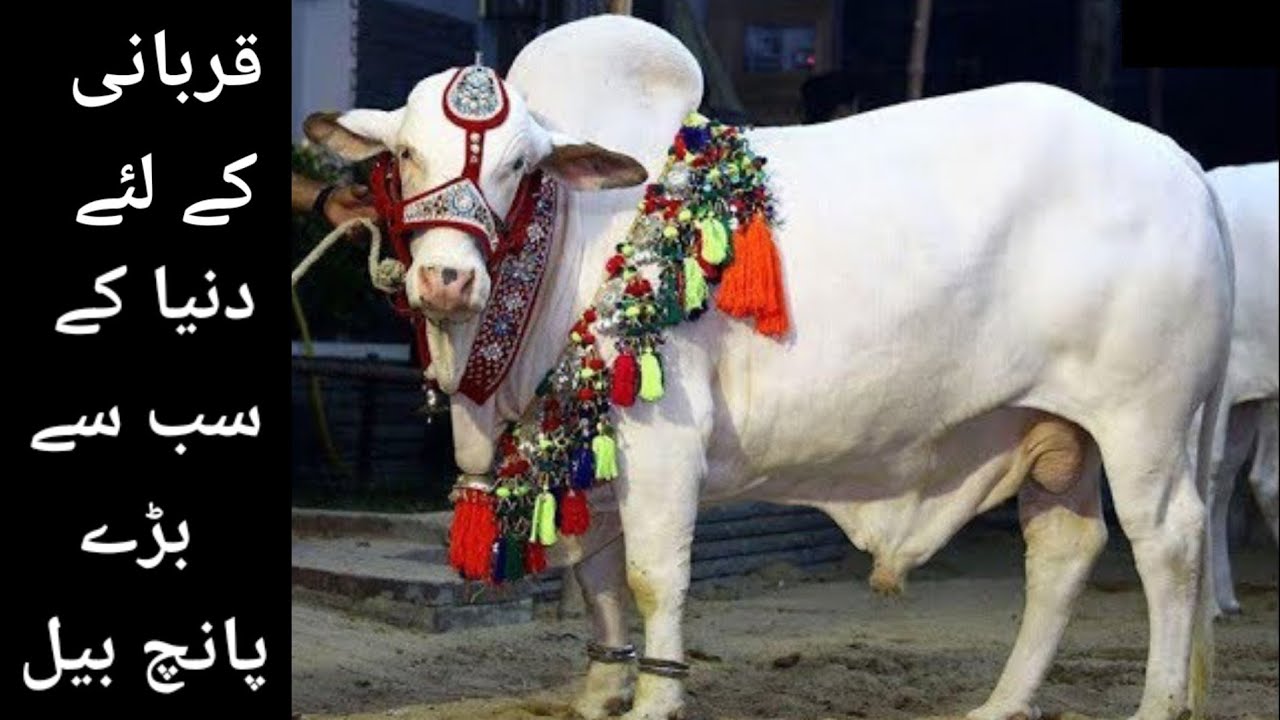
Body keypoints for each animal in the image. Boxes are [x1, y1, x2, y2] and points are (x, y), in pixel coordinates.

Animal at [304, 16, 1233, 720]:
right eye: (407, 155)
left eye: (519, 166)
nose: (447, 278)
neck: (568, 240)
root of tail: (1177, 160)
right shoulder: (577, 451)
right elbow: (593, 571)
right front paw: (601, 689)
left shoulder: (661, 444)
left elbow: (651, 575)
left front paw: (656, 698)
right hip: (1056, 431)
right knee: (1064, 551)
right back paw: (1003, 703)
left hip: (1144, 425)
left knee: (1168, 545)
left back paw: (1156, 705)